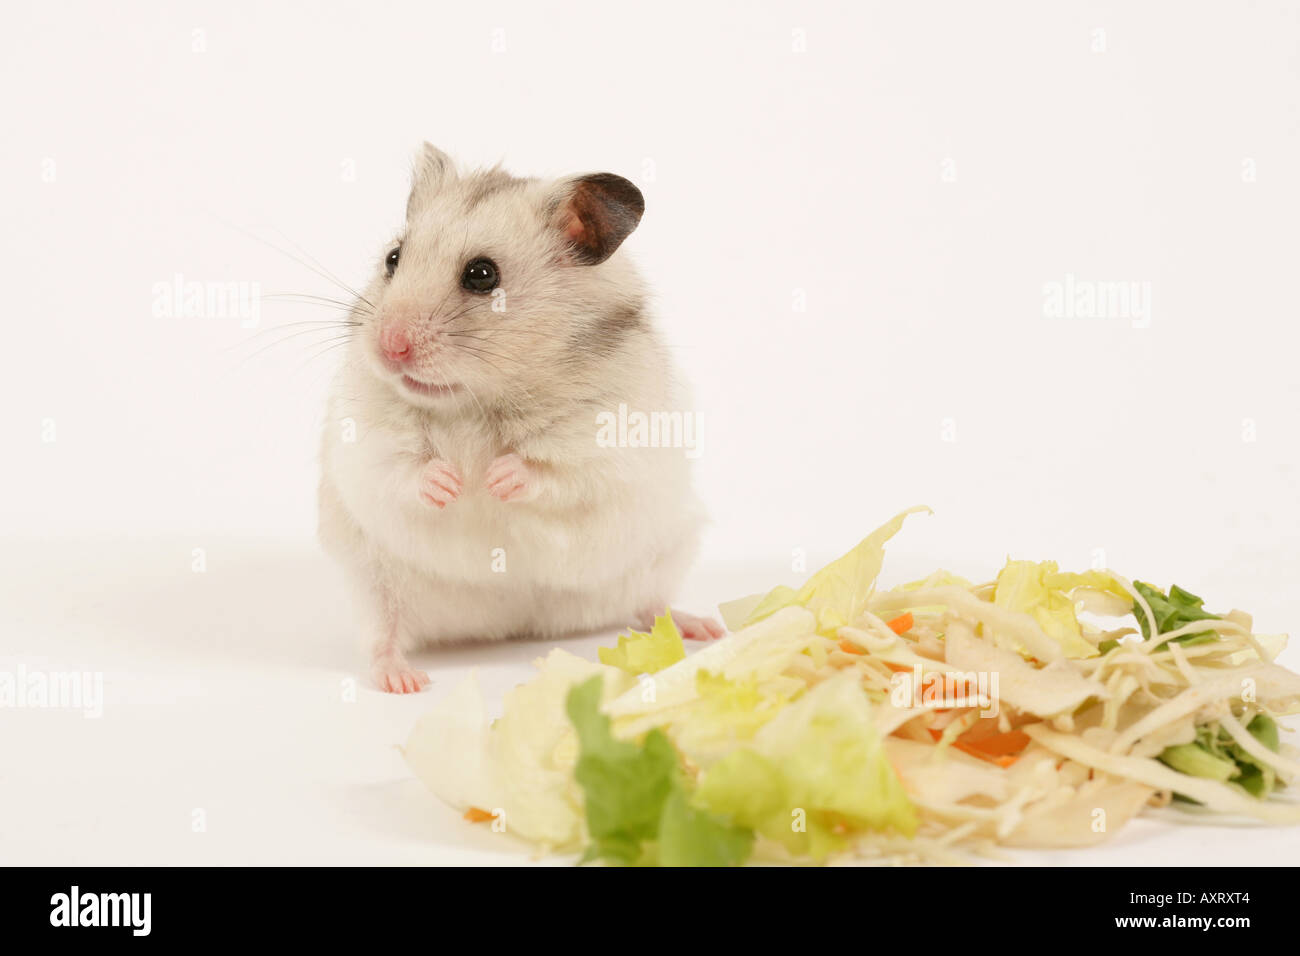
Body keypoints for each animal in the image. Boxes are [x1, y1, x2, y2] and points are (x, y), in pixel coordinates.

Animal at [318, 144, 722, 693]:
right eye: (393, 259)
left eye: (483, 275)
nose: (389, 347)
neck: (476, 401)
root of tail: (508, 625)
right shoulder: (365, 439)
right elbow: (400, 468)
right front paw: (451, 484)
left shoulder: (609, 440)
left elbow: (557, 472)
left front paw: (494, 478)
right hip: (371, 579)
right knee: (385, 634)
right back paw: (402, 680)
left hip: (665, 550)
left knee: (650, 605)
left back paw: (701, 628)